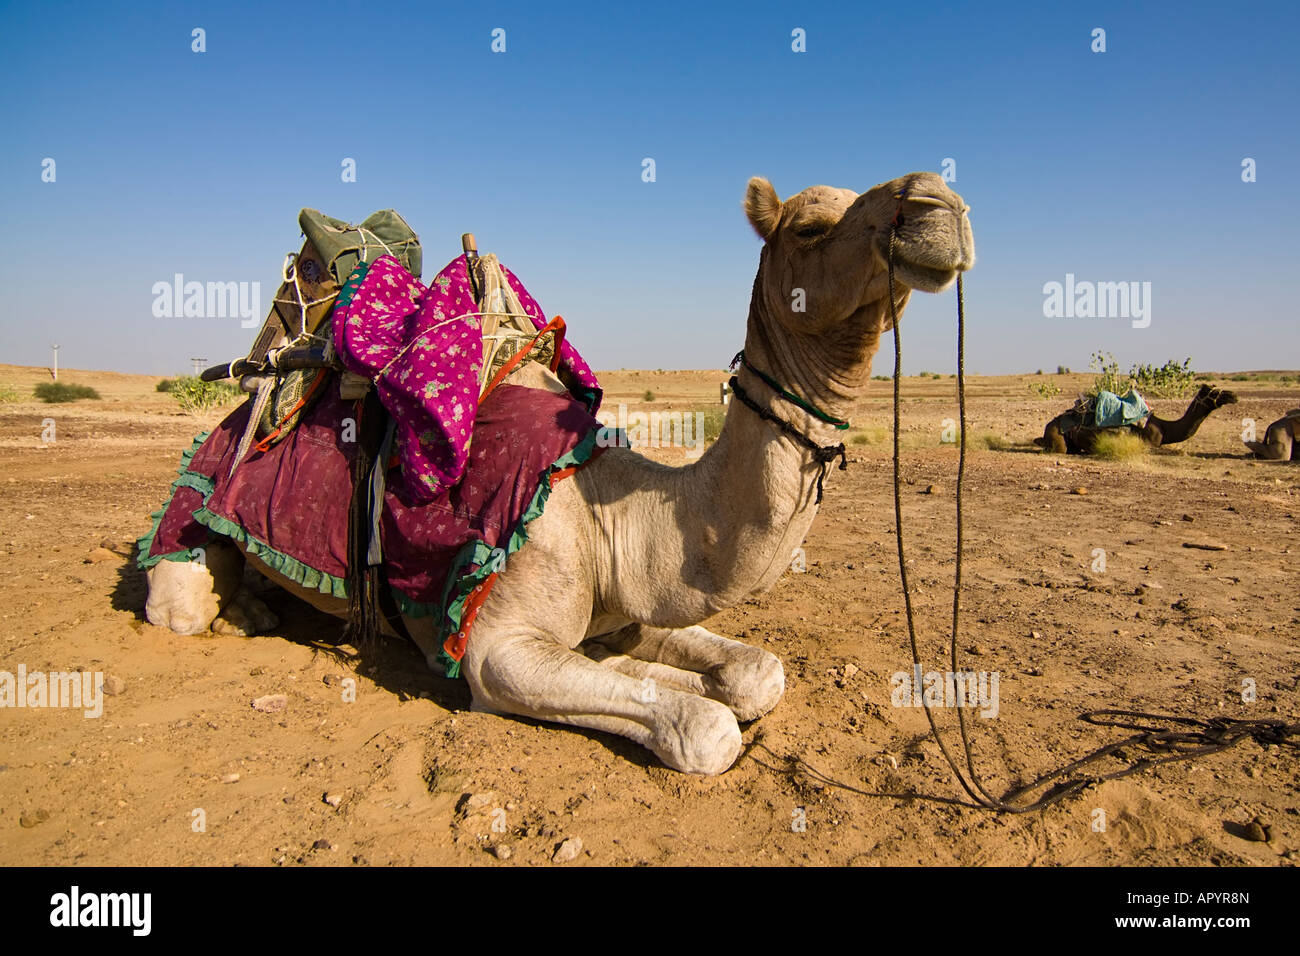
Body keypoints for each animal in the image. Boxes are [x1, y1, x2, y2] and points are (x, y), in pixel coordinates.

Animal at [143, 172, 974, 774]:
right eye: (808, 226)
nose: (941, 201)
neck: (613, 513)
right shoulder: (496, 649)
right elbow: (706, 728)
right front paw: (685, 697)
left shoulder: (630, 602)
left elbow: (754, 675)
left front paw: (691, 674)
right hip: (191, 510)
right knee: (178, 602)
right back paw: (235, 612)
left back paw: (258, 608)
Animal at [1034, 384, 1239, 455]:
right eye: (1212, 391)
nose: (1233, 395)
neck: (1164, 428)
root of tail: (1048, 425)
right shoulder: (1148, 443)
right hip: (1058, 440)